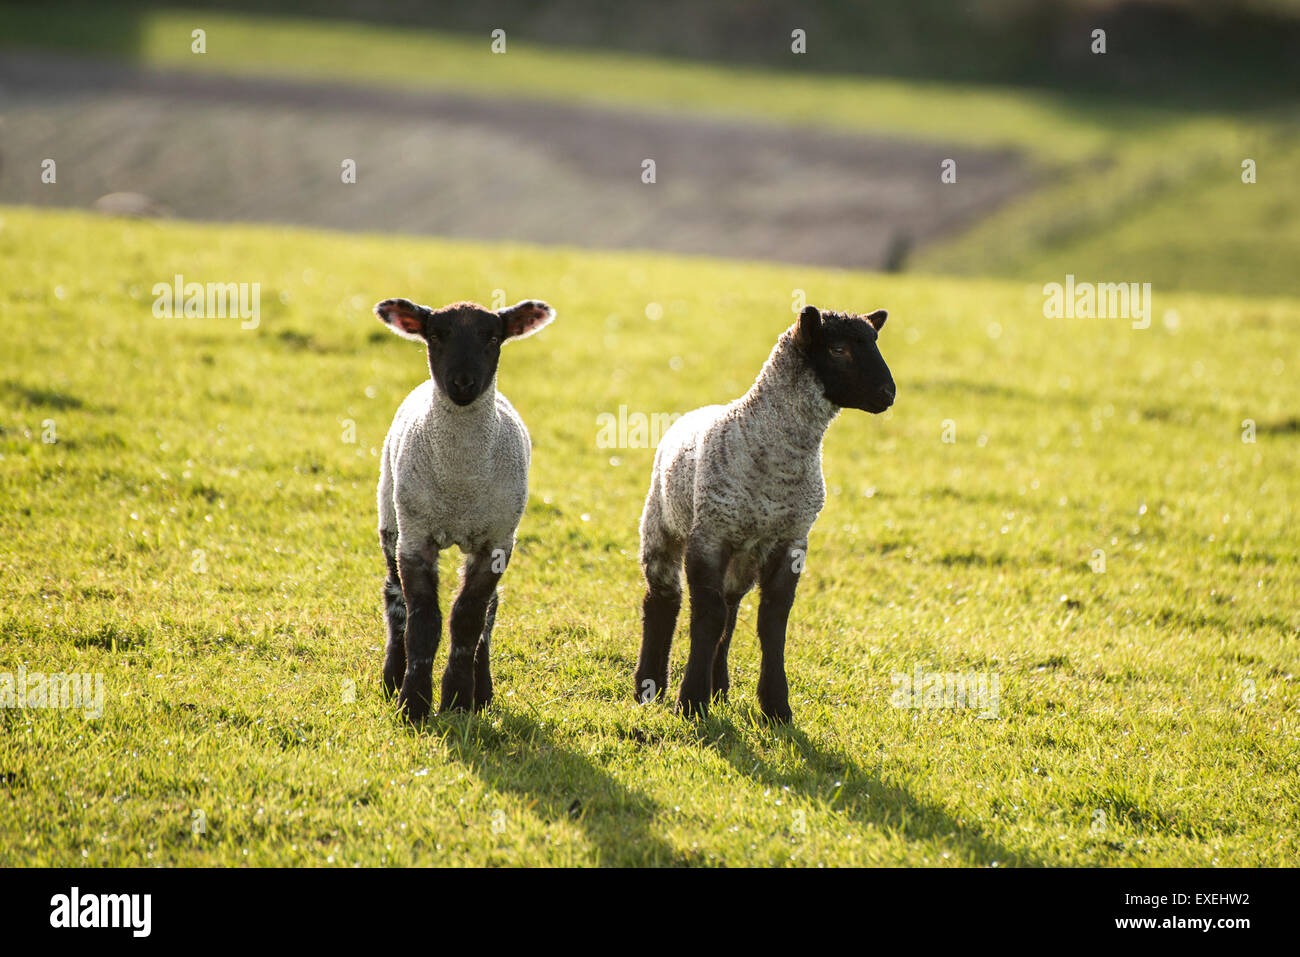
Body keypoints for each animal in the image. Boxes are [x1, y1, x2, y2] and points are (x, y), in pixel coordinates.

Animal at [374, 296, 555, 722]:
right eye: (437, 334)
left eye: (492, 337)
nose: (462, 383)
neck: (461, 484)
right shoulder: (416, 538)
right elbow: (424, 621)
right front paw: (413, 703)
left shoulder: (496, 542)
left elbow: (469, 618)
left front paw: (458, 699)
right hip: (391, 516)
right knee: (394, 597)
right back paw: (392, 677)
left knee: (491, 610)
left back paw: (482, 689)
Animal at [634, 304, 895, 722]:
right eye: (838, 349)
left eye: (873, 341)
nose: (888, 394)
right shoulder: (710, 534)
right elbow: (706, 617)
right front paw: (690, 702)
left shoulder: (792, 540)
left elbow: (772, 622)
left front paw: (776, 707)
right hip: (663, 524)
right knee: (662, 600)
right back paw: (650, 684)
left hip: (744, 556)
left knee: (730, 609)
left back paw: (718, 686)